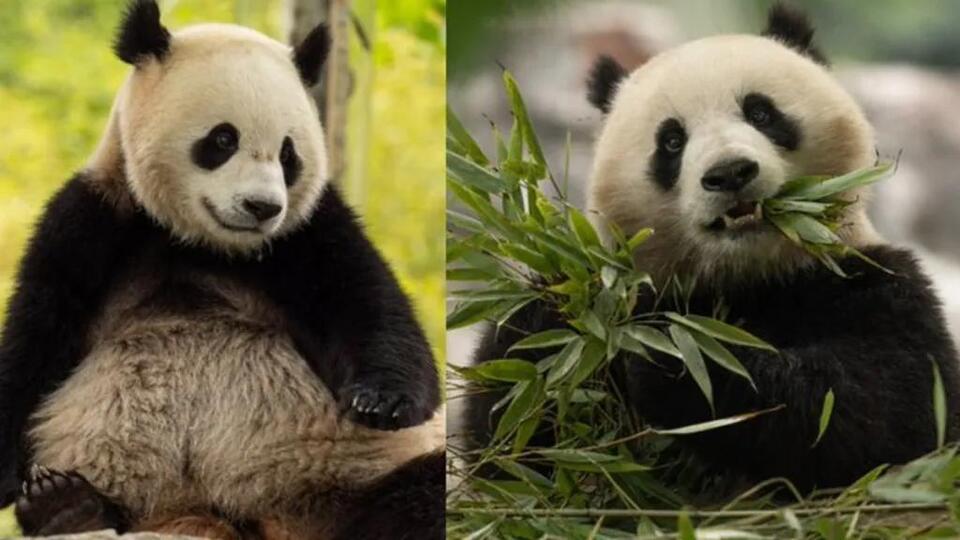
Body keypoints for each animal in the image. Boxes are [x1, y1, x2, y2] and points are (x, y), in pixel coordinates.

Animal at [0, 1, 443, 538]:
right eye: (223, 139)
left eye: (289, 153)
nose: (262, 207)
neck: (200, 244)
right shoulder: (91, 223)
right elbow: (33, 344)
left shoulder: (306, 233)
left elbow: (369, 307)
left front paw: (380, 400)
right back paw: (65, 505)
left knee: (420, 490)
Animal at [464, 3, 960, 492]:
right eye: (671, 141)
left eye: (761, 113)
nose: (730, 173)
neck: (745, 277)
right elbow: (511, 442)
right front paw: (558, 318)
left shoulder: (872, 282)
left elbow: (883, 407)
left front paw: (676, 357)